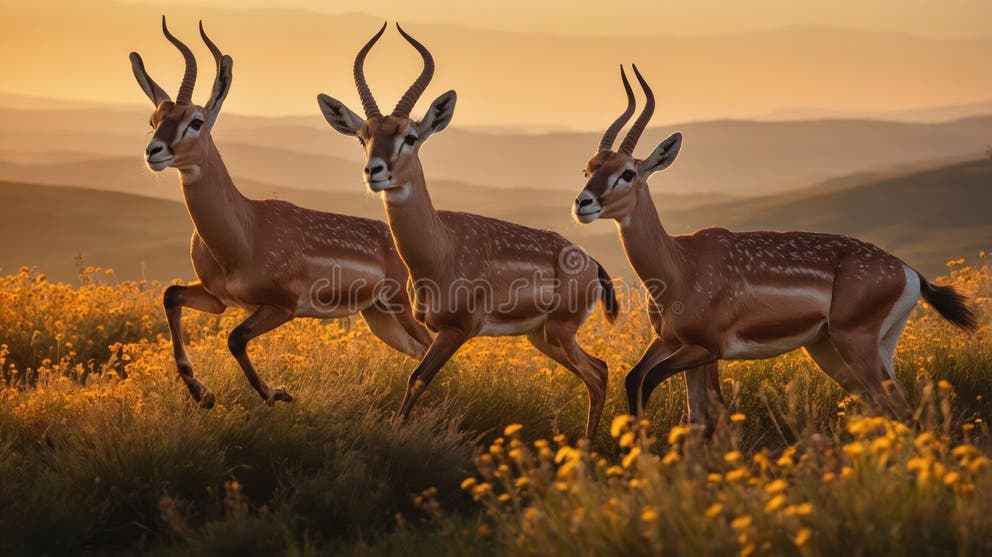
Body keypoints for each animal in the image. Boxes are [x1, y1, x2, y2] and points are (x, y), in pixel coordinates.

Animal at [130, 18, 432, 407]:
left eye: (196, 121)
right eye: (153, 120)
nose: (154, 151)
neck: (244, 233)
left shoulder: (281, 306)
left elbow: (235, 339)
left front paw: (277, 393)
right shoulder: (218, 299)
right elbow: (171, 295)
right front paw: (203, 393)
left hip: (401, 310)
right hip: (379, 318)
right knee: (420, 353)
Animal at [316, 23, 618, 438]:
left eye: (410, 136)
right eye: (364, 136)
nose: (374, 171)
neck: (439, 251)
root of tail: (592, 264)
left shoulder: (457, 330)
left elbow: (417, 378)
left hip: (558, 332)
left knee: (598, 373)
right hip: (542, 336)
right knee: (597, 371)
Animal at [572, 65, 978, 430]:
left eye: (627, 173)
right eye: (589, 168)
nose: (583, 203)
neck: (680, 267)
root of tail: (908, 271)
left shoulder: (706, 349)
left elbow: (689, 402)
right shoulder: (672, 343)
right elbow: (667, 399)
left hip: (854, 344)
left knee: (897, 405)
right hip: (834, 349)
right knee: (883, 406)